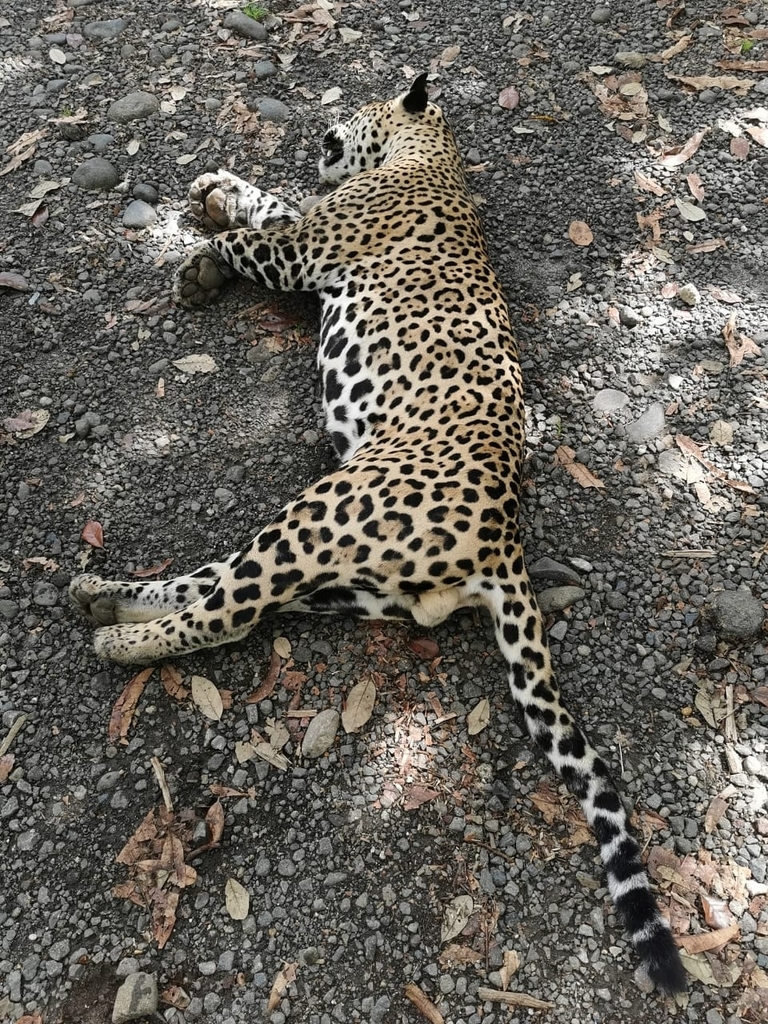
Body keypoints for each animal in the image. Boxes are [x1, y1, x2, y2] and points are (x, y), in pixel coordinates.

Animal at [70, 74, 686, 994]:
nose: (319, 131)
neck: (433, 154)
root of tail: (505, 541)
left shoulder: (307, 249)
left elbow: (261, 234)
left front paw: (205, 246)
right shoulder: (313, 224)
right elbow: (273, 202)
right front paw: (219, 188)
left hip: (323, 513)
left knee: (225, 613)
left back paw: (118, 643)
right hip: (344, 579)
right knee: (219, 589)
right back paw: (104, 597)